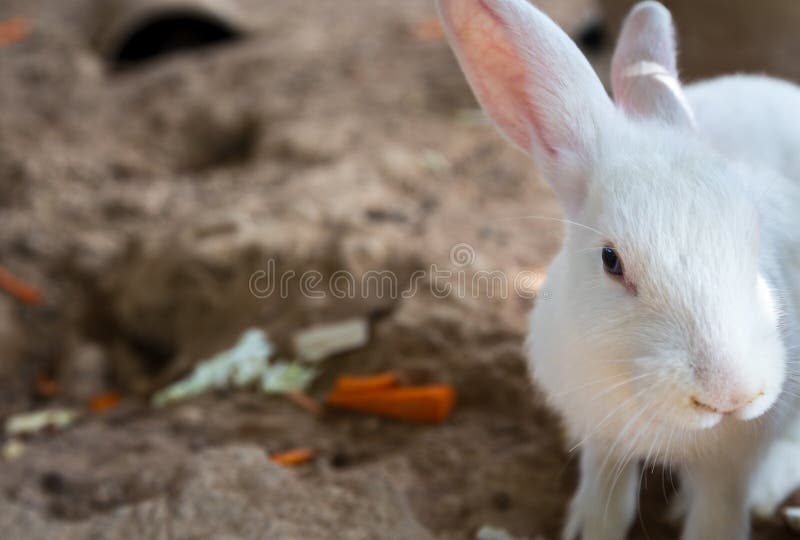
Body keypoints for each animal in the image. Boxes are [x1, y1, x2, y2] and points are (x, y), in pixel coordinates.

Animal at [435, 1, 800, 539]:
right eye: (611, 260)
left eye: (755, 236)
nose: (730, 392)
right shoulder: (599, 437)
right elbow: (605, 490)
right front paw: (588, 528)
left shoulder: (730, 468)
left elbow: (718, 515)